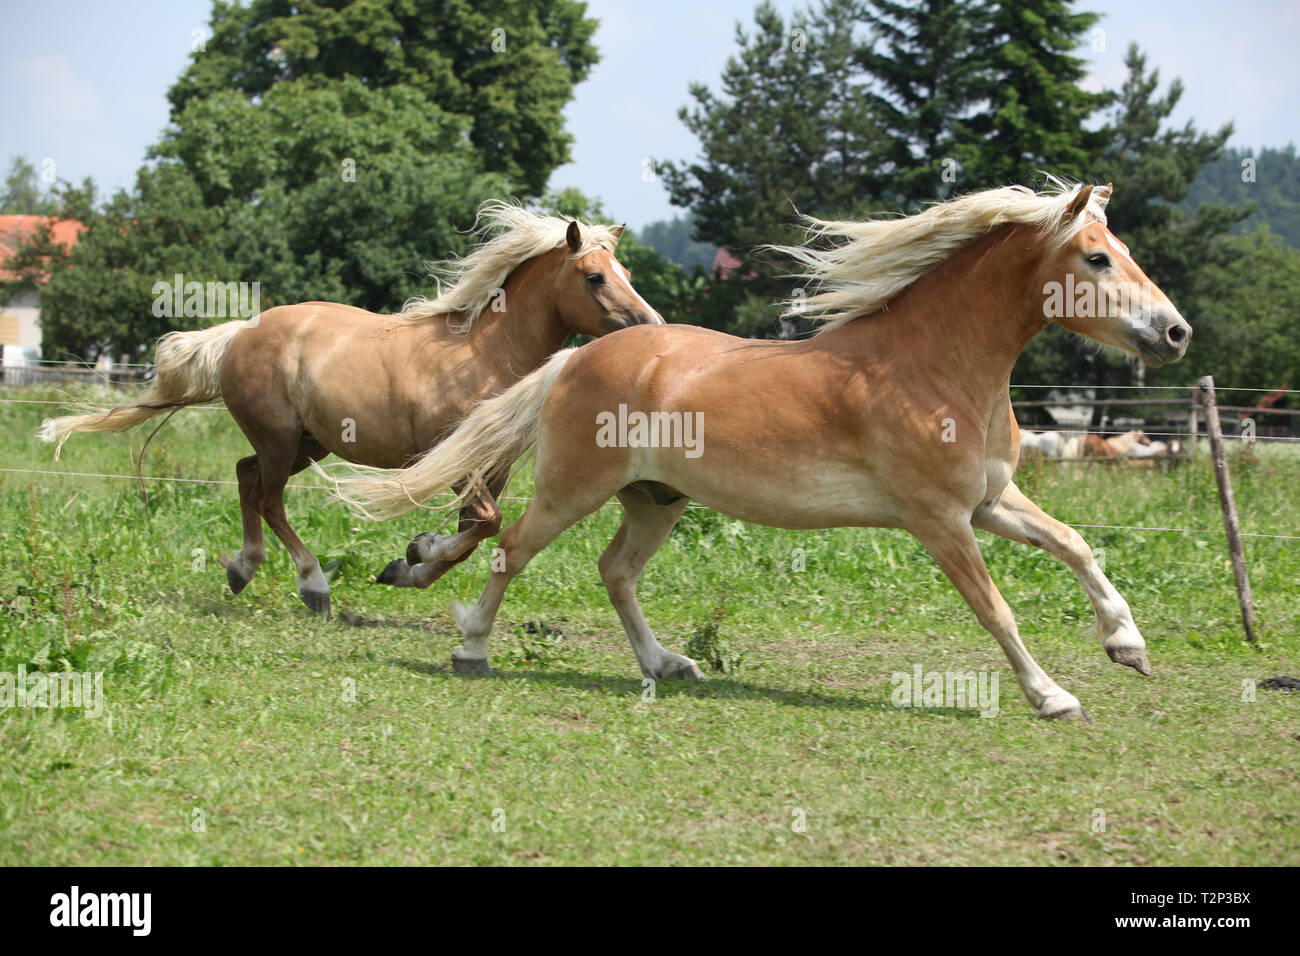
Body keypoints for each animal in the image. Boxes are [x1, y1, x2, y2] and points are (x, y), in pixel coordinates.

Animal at [40, 203, 663, 615]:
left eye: (628, 274)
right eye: (595, 276)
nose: (650, 325)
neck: (481, 351)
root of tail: (241, 332)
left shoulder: (493, 464)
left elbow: (476, 532)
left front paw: (408, 565)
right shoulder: (454, 459)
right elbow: (484, 524)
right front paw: (414, 554)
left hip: (306, 444)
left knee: (245, 477)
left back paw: (243, 569)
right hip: (281, 440)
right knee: (267, 497)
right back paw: (312, 586)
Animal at [332, 181, 1192, 721]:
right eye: (1097, 258)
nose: (1176, 332)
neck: (935, 369)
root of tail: (575, 359)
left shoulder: (989, 501)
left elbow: (1075, 544)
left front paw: (1128, 645)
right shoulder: (939, 520)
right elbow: (997, 609)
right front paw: (1055, 697)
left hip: (657, 500)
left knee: (615, 571)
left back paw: (666, 664)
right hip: (572, 489)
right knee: (511, 547)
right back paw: (472, 647)